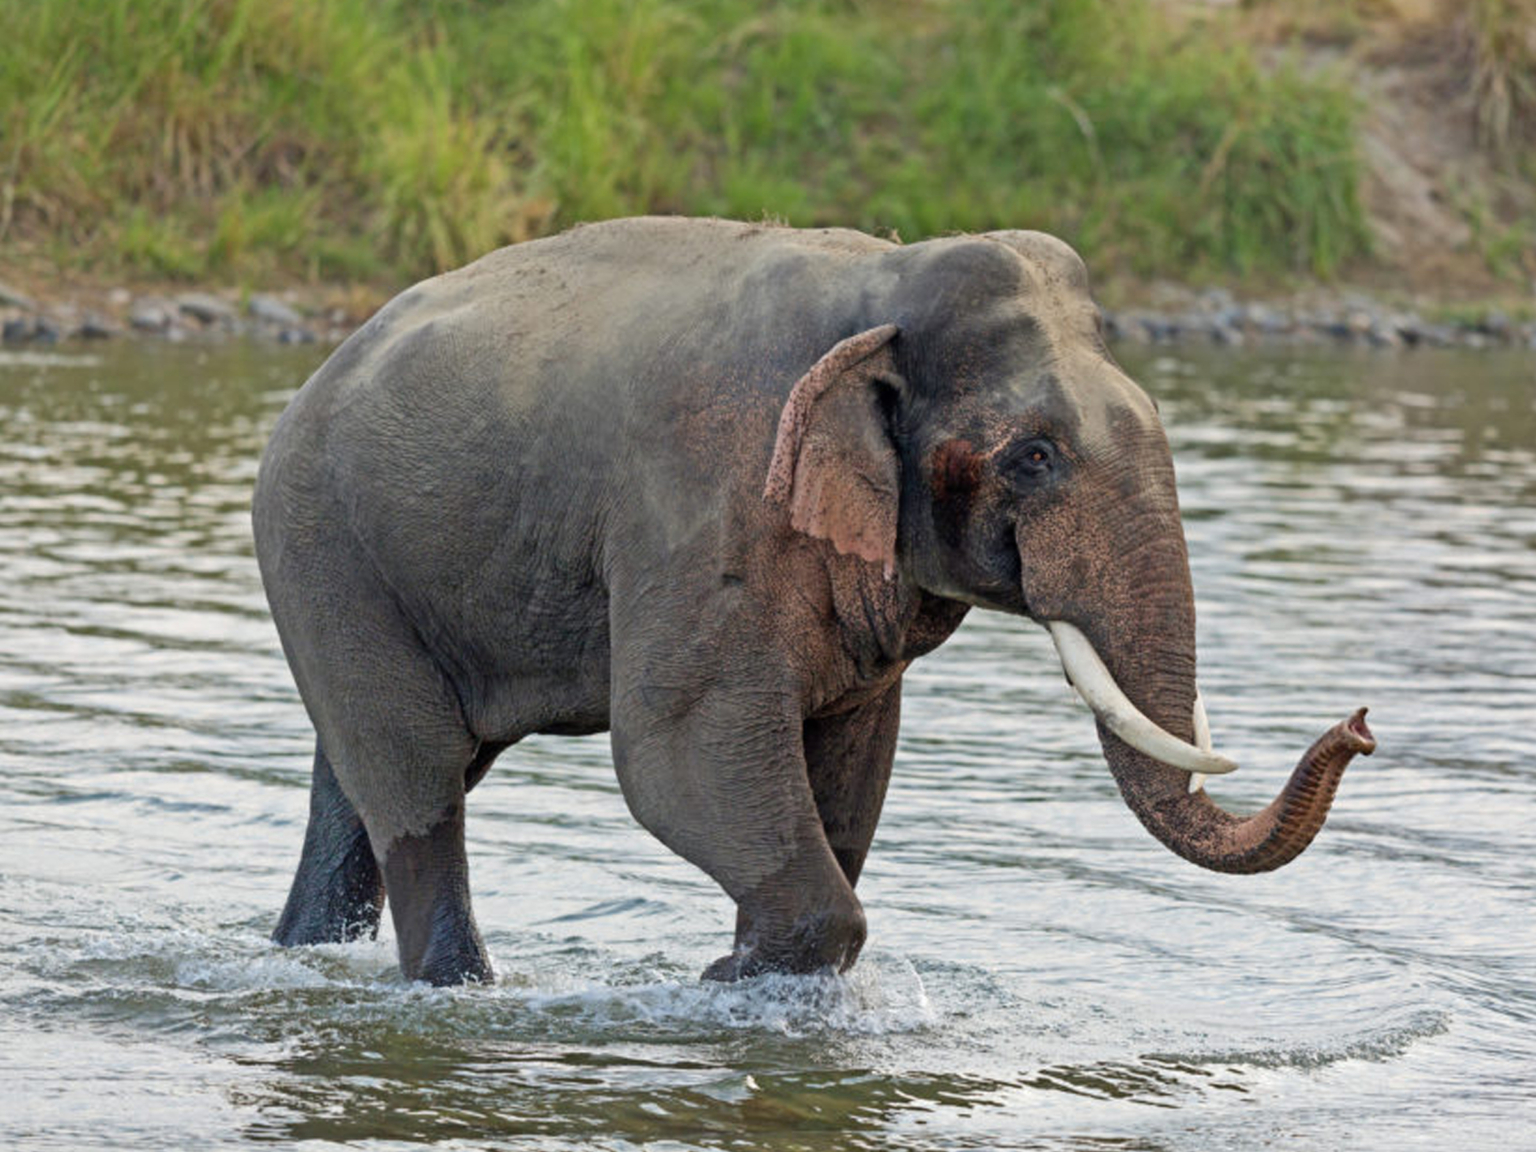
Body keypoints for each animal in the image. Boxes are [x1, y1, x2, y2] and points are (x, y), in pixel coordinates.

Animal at [253, 217, 1375, 986]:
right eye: (1036, 457)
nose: (1359, 726)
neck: (878, 282)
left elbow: (847, 763)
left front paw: (746, 974)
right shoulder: (702, 508)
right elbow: (675, 755)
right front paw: (725, 983)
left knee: (363, 783)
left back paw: (302, 956)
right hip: (320, 547)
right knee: (420, 775)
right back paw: (459, 991)